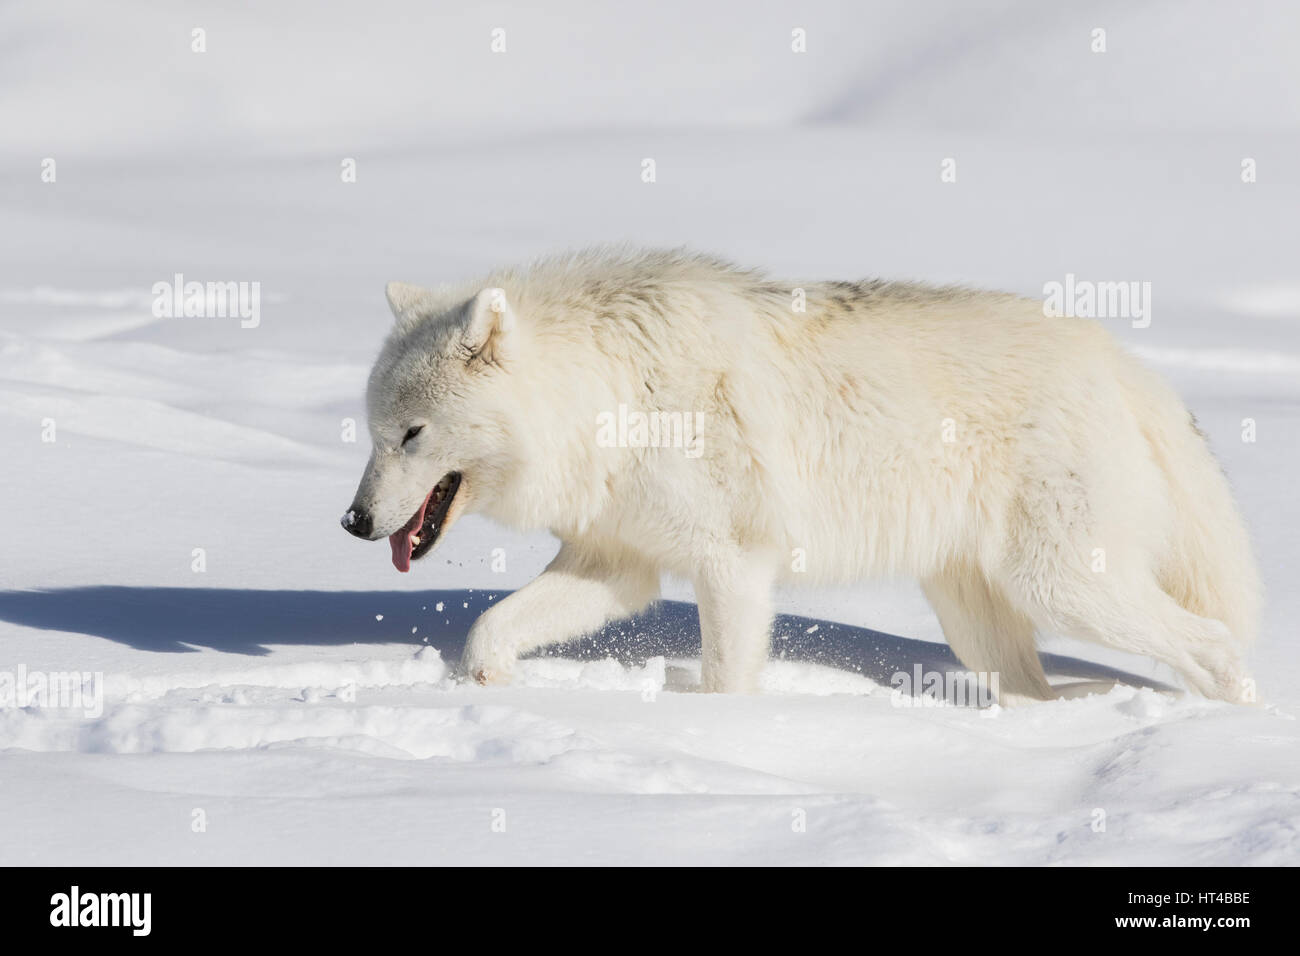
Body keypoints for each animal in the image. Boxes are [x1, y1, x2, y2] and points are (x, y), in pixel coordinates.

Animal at [342, 247, 1260, 704]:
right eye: (374, 434)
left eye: (413, 435)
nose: (352, 523)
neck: (613, 397)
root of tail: (1130, 370)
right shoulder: (619, 563)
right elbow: (488, 628)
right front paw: (491, 686)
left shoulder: (733, 564)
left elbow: (727, 677)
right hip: (976, 614)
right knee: (1029, 689)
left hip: (1063, 585)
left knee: (1216, 644)